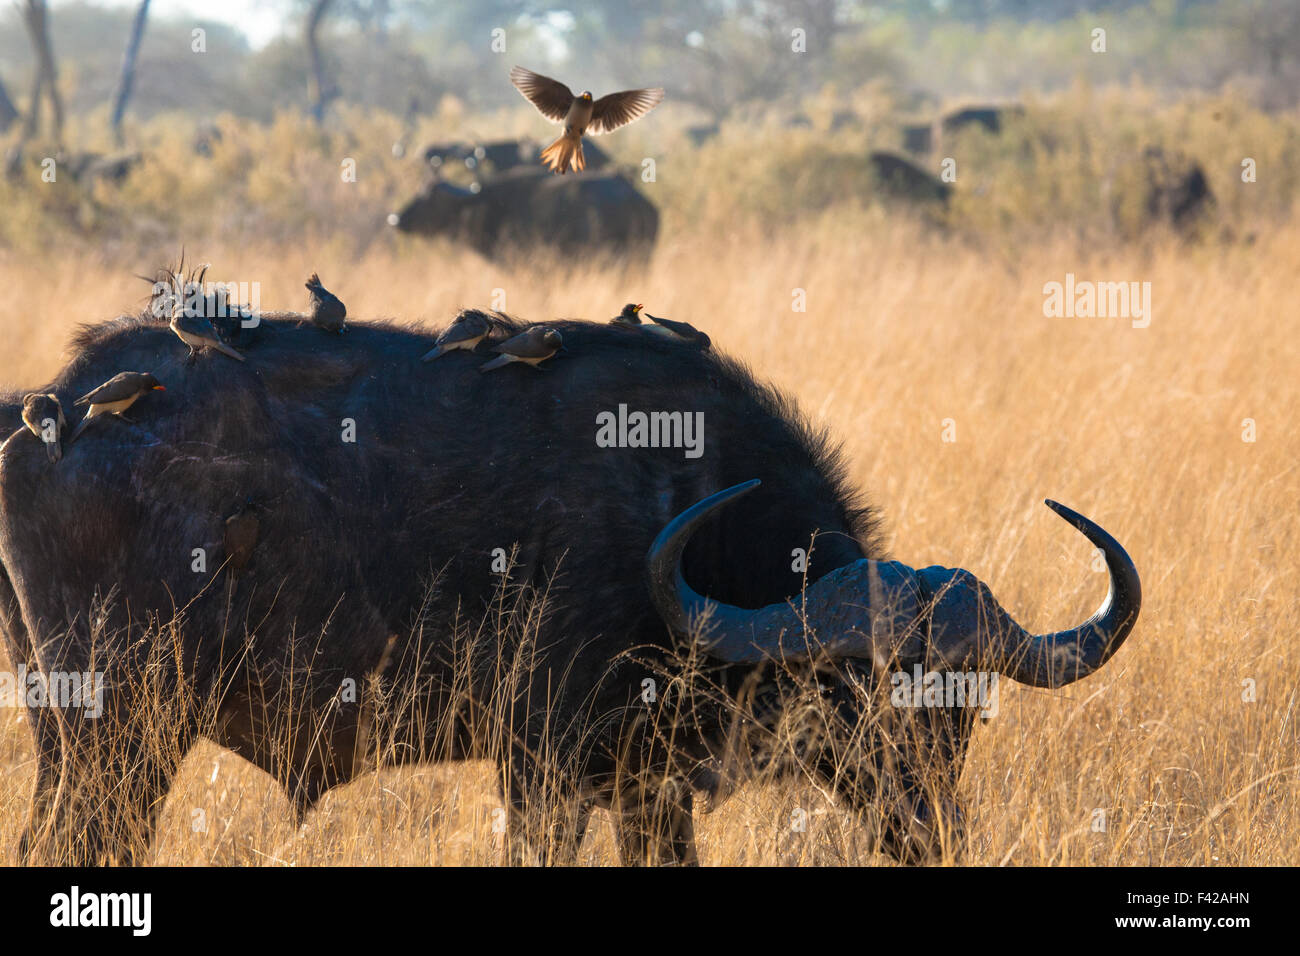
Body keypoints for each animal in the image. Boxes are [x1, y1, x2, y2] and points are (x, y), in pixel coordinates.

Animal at [0, 302, 1140, 865]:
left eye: (964, 714)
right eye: (850, 691)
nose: (926, 828)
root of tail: (46, 413)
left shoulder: (650, 783)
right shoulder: (540, 766)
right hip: (116, 736)